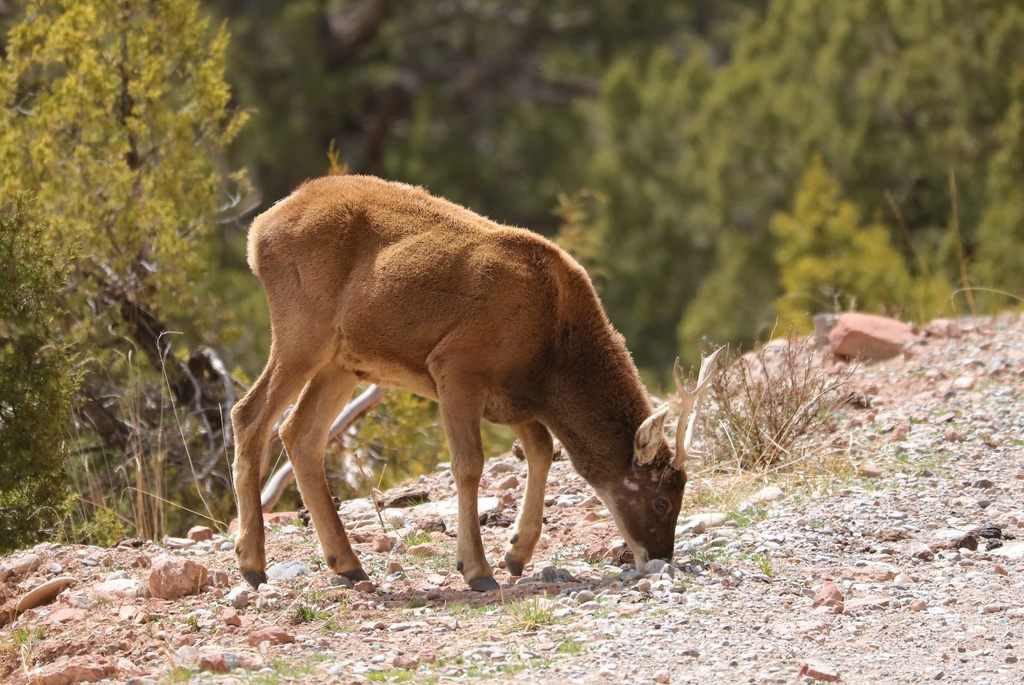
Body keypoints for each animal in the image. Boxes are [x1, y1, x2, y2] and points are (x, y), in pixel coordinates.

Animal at [230, 174, 723, 591]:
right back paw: (253, 565)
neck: (552, 352)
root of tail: (257, 233)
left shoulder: (514, 398)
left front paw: (517, 553)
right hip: (303, 329)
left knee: (300, 433)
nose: (660, 558)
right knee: (250, 415)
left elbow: (542, 450)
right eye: (661, 501)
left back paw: (347, 565)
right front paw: (477, 569)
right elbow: (469, 464)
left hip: (344, 360)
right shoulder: (457, 364)